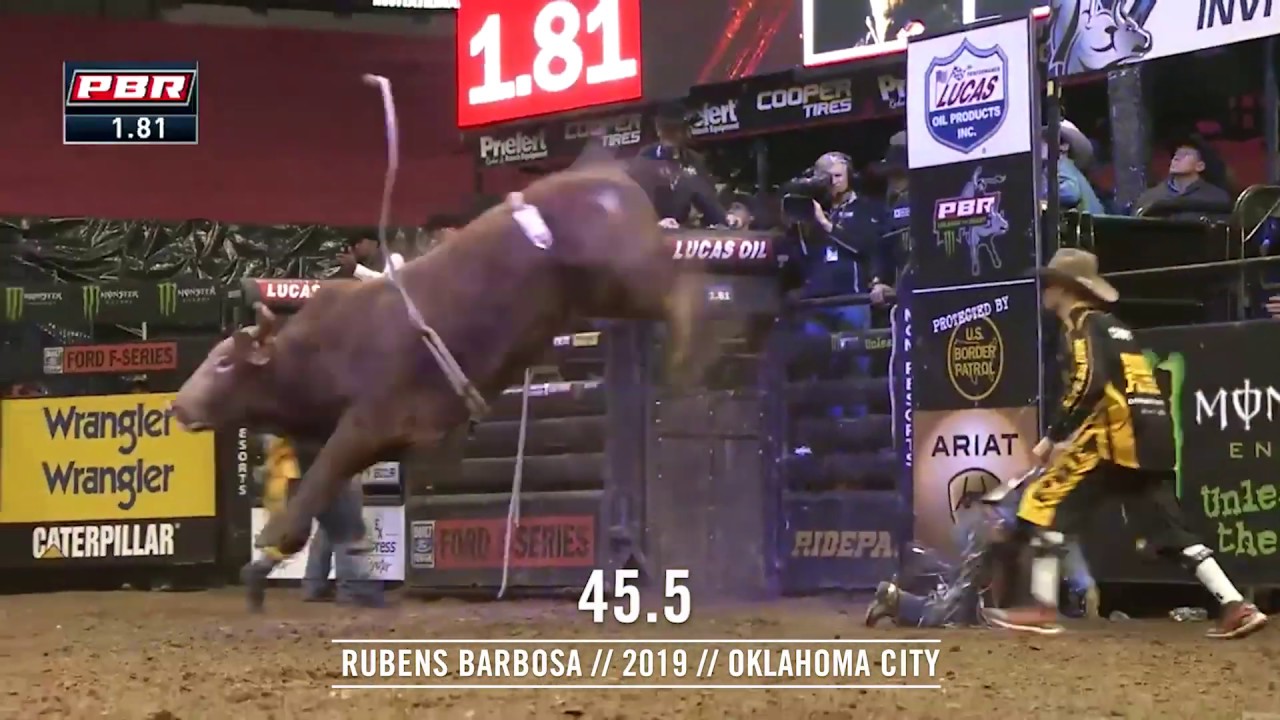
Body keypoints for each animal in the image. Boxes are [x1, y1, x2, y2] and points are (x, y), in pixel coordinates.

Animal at [171, 164, 711, 574]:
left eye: (223, 362)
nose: (177, 406)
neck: (319, 353)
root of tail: (613, 178)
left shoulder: (372, 419)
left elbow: (324, 471)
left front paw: (276, 535)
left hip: (623, 275)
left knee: (680, 291)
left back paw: (687, 356)